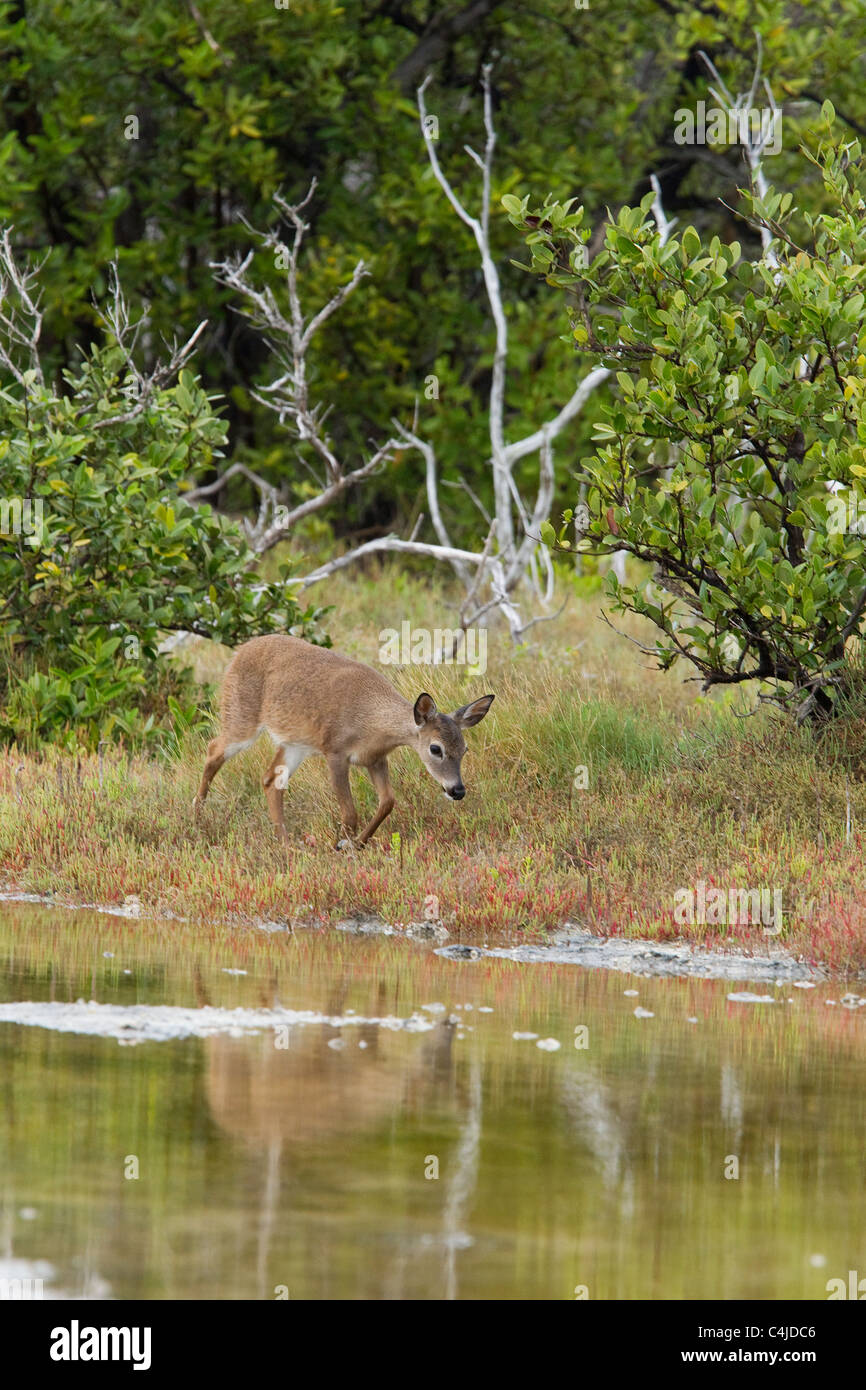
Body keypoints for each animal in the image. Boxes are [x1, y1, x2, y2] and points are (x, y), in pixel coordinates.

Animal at [193, 634, 494, 847]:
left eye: (465, 748)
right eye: (435, 748)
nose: (457, 790)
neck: (371, 721)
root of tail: (239, 651)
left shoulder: (375, 758)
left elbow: (387, 802)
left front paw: (355, 844)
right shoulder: (335, 751)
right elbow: (349, 814)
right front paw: (341, 846)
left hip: (295, 743)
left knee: (270, 778)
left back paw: (286, 843)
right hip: (241, 716)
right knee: (213, 749)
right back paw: (197, 815)